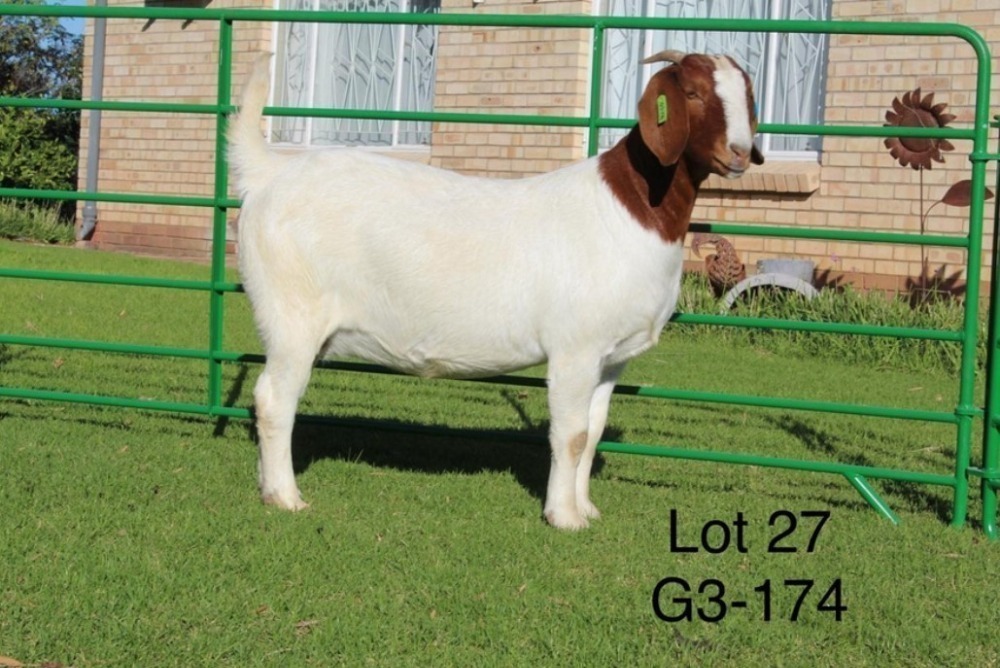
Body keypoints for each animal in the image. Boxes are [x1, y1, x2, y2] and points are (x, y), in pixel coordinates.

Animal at [228, 51, 763, 529]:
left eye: (747, 93)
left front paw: (586, 508)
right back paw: (285, 497)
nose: (739, 153)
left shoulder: (610, 358)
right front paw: (564, 517)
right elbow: (570, 436)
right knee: (274, 399)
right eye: (692, 93)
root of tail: (269, 174)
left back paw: (267, 486)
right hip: (292, 315)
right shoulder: (575, 350)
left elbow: (592, 434)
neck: (631, 209)